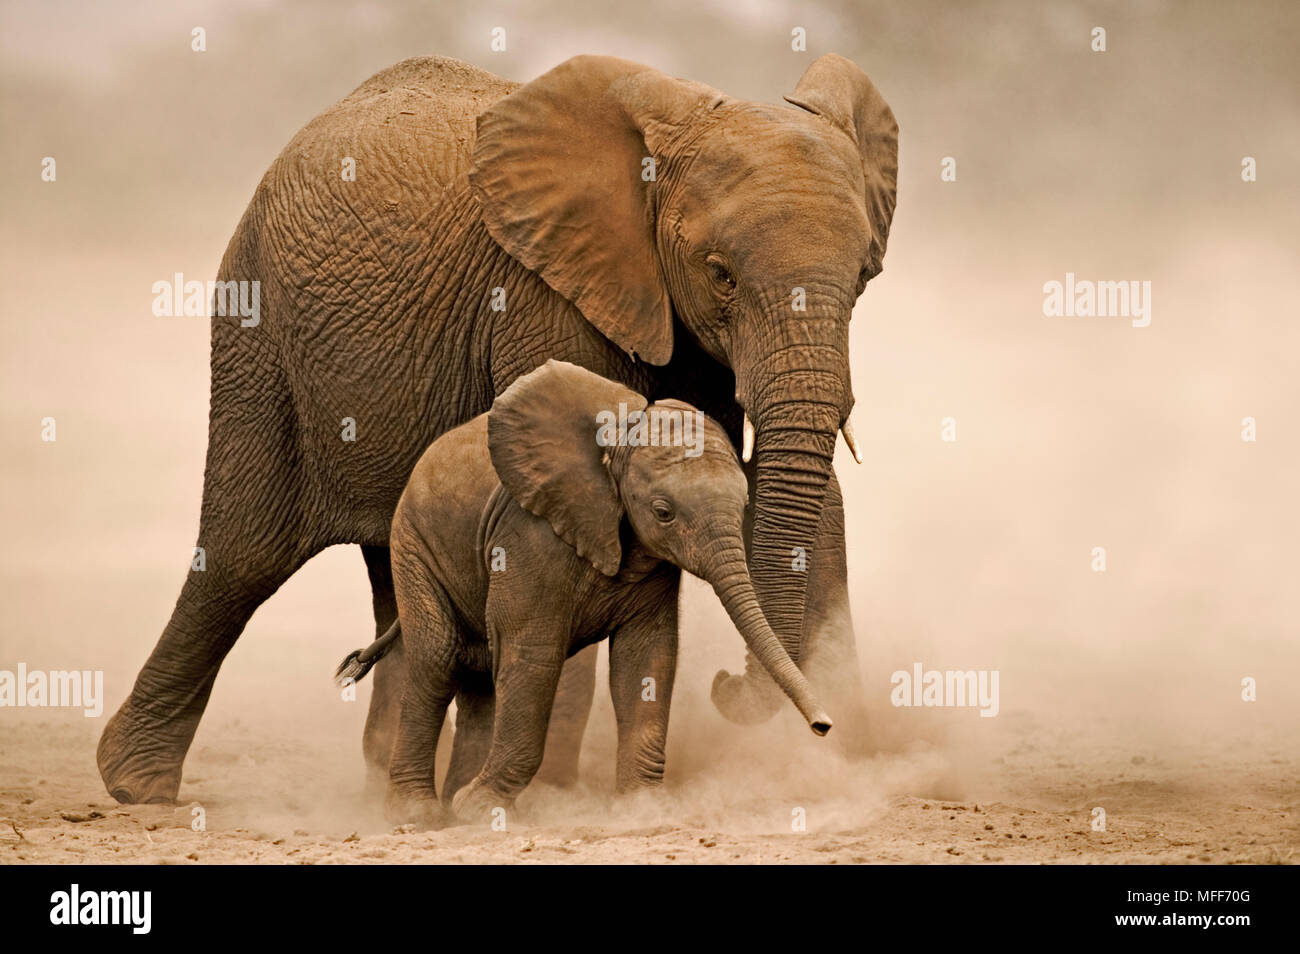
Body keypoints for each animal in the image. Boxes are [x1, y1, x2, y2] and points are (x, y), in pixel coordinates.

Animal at [336, 361, 832, 826]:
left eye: (745, 505)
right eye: (663, 512)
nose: (824, 726)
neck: (621, 438)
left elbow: (646, 659)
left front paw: (645, 810)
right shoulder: (530, 535)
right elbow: (533, 658)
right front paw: (481, 809)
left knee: (479, 676)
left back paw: (452, 804)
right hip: (413, 544)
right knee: (438, 660)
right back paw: (418, 814)